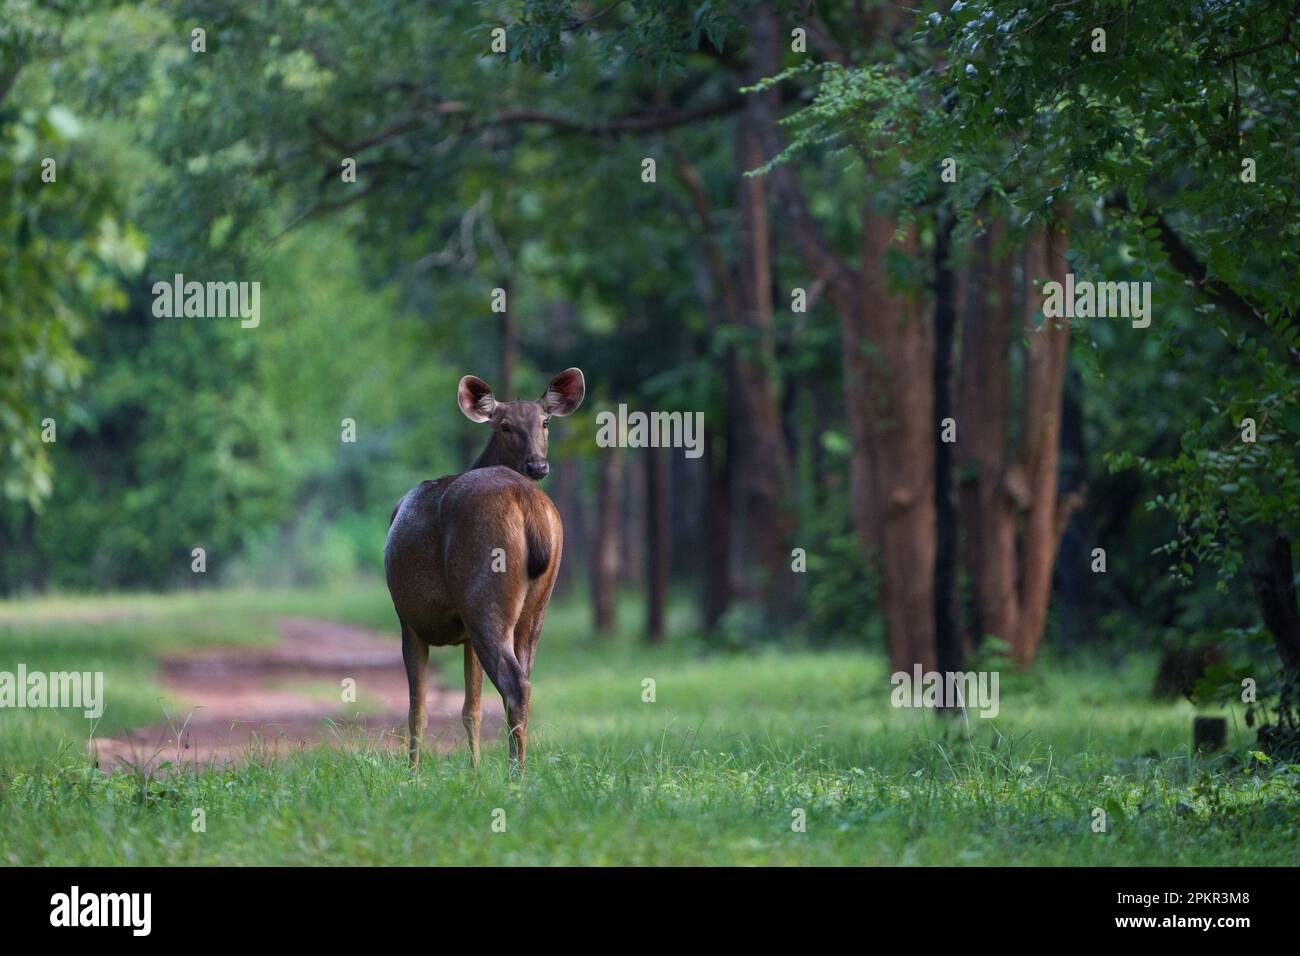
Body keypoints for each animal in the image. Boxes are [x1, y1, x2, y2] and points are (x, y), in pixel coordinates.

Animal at [384, 368, 585, 774]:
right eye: (505, 426)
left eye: (545, 422)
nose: (537, 465)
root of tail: (527, 501)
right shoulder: (463, 635)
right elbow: (470, 708)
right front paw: (474, 772)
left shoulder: (408, 619)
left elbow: (418, 709)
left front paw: (413, 775)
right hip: (535, 606)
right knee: (525, 681)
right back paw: (519, 770)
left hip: (484, 593)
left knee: (514, 684)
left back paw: (514, 776)